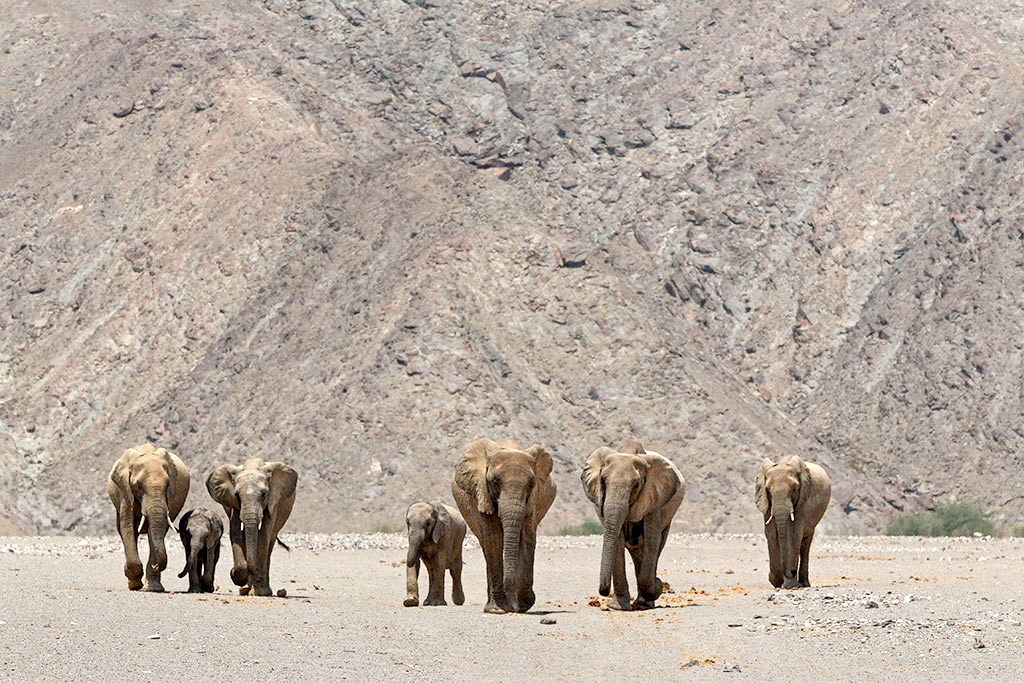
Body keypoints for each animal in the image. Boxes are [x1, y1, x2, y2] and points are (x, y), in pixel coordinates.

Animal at [106, 443, 190, 592]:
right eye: (138, 486)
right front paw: (134, 585)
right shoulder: (125, 490)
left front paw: (152, 588)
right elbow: (127, 525)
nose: (156, 566)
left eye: (167, 485)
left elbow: (155, 531)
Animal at [206, 459, 297, 597]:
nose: (258, 575)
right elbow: (235, 531)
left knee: (270, 539)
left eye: (264, 494)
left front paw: (260, 592)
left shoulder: (273, 499)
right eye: (237, 495)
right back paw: (247, 589)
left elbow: (265, 533)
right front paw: (237, 575)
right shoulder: (232, 501)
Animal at [451, 438, 556, 614]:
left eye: (531, 484)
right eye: (494, 482)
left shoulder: (532, 501)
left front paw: (524, 603)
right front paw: (498, 609)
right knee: (487, 547)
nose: (514, 608)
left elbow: (527, 538)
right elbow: (493, 539)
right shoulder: (481, 491)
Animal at [581, 440, 684, 610]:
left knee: (656, 546)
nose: (603, 592)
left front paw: (657, 586)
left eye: (636, 485)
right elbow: (616, 539)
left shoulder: (654, 497)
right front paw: (617, 607)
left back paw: (645, 601)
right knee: (637, 552)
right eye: (602, 481)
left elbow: (652, 540)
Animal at [755, 455, 831, 589]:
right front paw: (776, 581)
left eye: (794, 489)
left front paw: (789, 584)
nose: (791, 571)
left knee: (805, 544)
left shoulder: (803, 503)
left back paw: (804, 584)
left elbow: (795, 534)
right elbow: (771, 534)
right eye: (768, 490)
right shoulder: (766, 503)